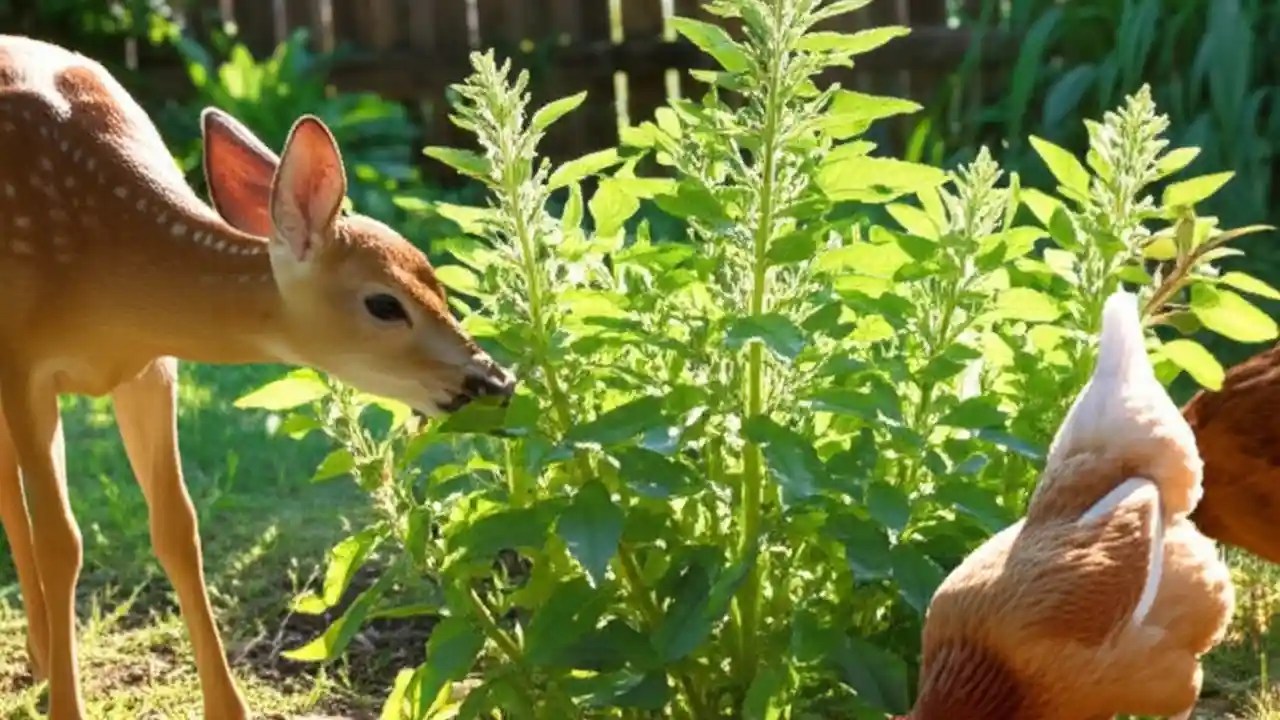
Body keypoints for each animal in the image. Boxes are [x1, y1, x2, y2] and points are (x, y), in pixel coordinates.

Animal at [0, 34, 515, 719]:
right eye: (384, 303)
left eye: (435, 278)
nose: (496, 382)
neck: (100, 272)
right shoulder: (23, 363)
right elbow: (61, 541)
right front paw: (66, 706)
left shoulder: (150, 367)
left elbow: (178, 528)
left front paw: (228, 706)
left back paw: (37, 657)